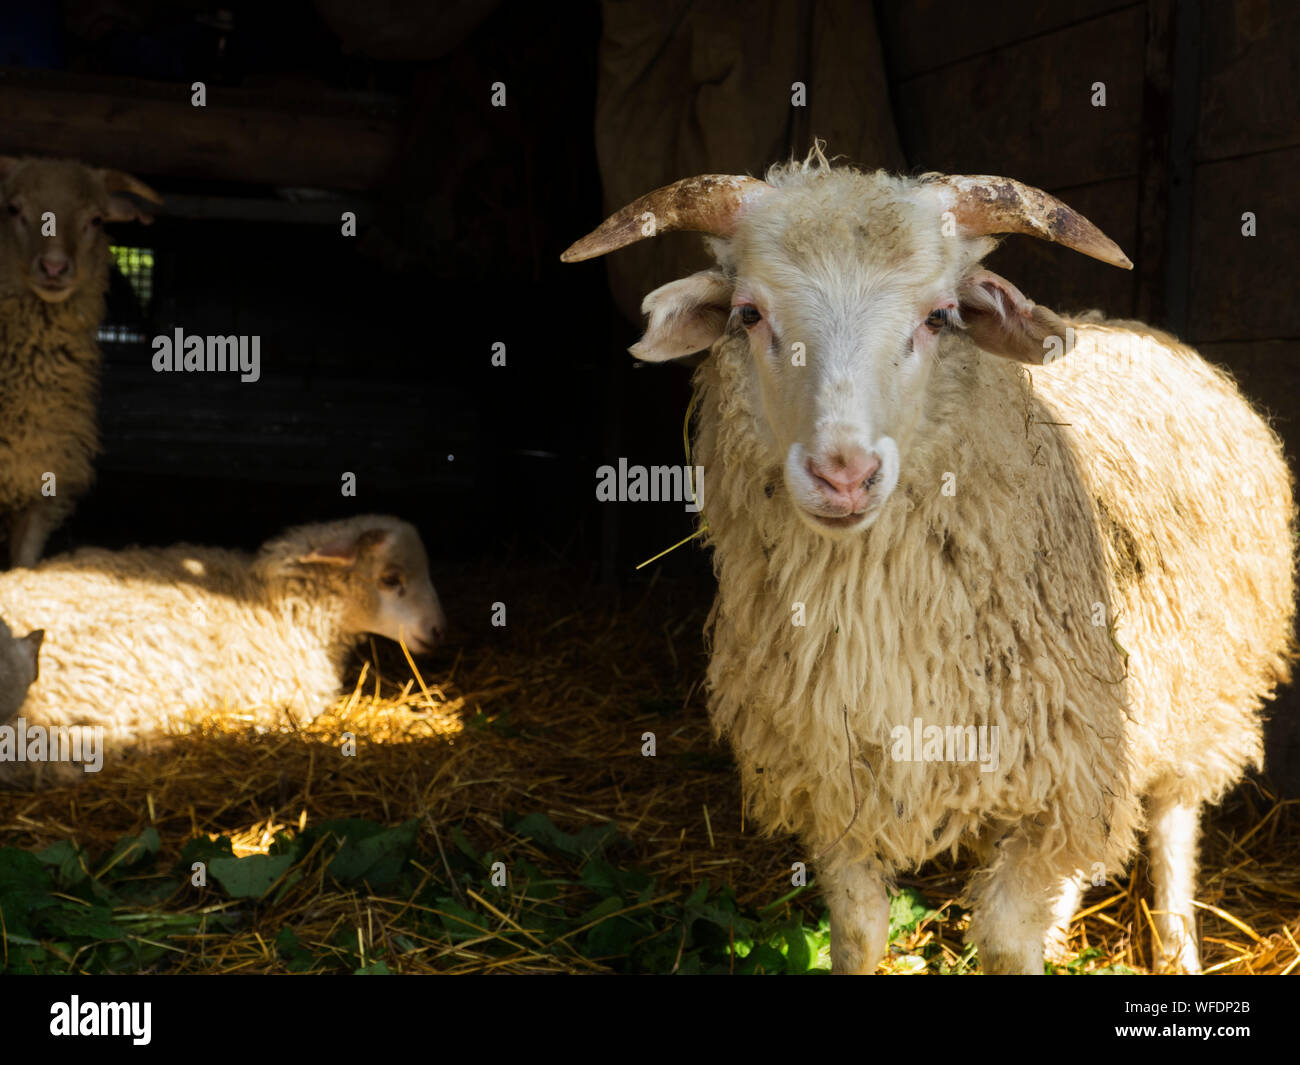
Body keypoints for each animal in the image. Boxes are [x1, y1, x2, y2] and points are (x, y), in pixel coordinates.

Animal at [563, 149, 1297, 974]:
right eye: (748, 314)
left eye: (938, 317)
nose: (843, 473)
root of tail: (1129, 327)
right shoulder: (834, 783)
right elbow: (858, 931)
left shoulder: (1068, 772)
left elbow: (1007, 936)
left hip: (1205, 682)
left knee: (1174, 814)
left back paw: (1176, 946)